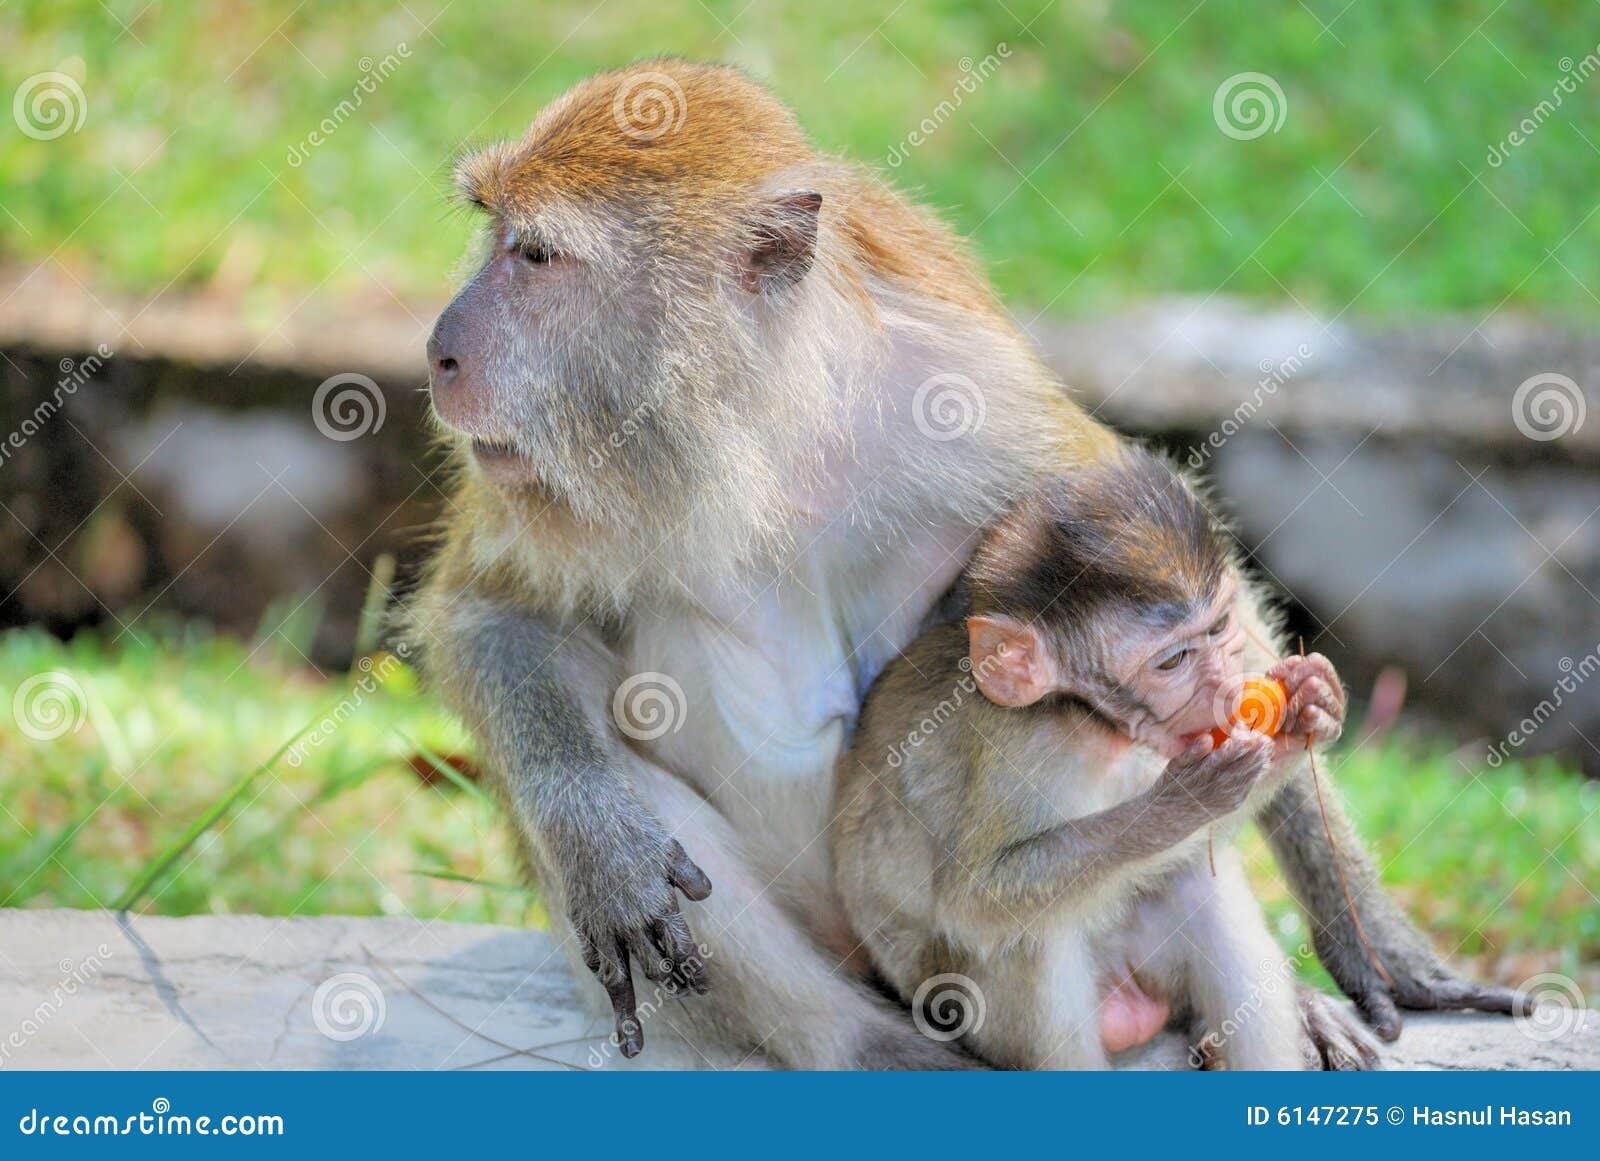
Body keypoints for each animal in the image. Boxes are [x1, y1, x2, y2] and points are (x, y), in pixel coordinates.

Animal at [833, 443, 1363, 1069]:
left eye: (1219, 628)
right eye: (1173, 661)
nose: (1228, 687)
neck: (1094, 724)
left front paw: (1308, 707)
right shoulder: (1019, 747)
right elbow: (973, 900)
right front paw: (1178, 806)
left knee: (1189, 880)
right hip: (970, 1012)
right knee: (1034, 937)